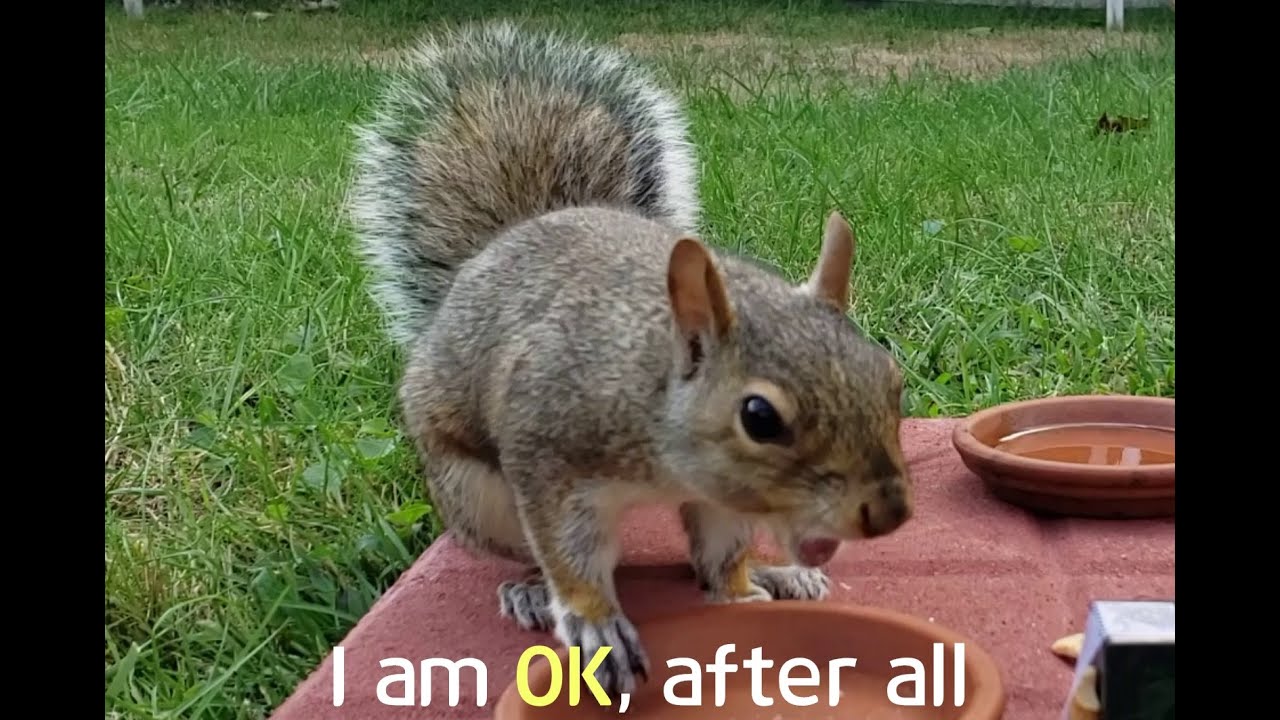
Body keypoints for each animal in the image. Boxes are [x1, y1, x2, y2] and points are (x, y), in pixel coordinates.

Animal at [348, 21, 914, 701]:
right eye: (759, 417)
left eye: (891, 379)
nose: (889, 512)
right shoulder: (548, 451)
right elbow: (569, 555)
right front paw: (596, 624)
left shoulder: (721, 502)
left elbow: (721, 561)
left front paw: (747, 594)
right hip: (476, 495)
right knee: (523, 552)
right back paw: (530, 593)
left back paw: (779, 576)